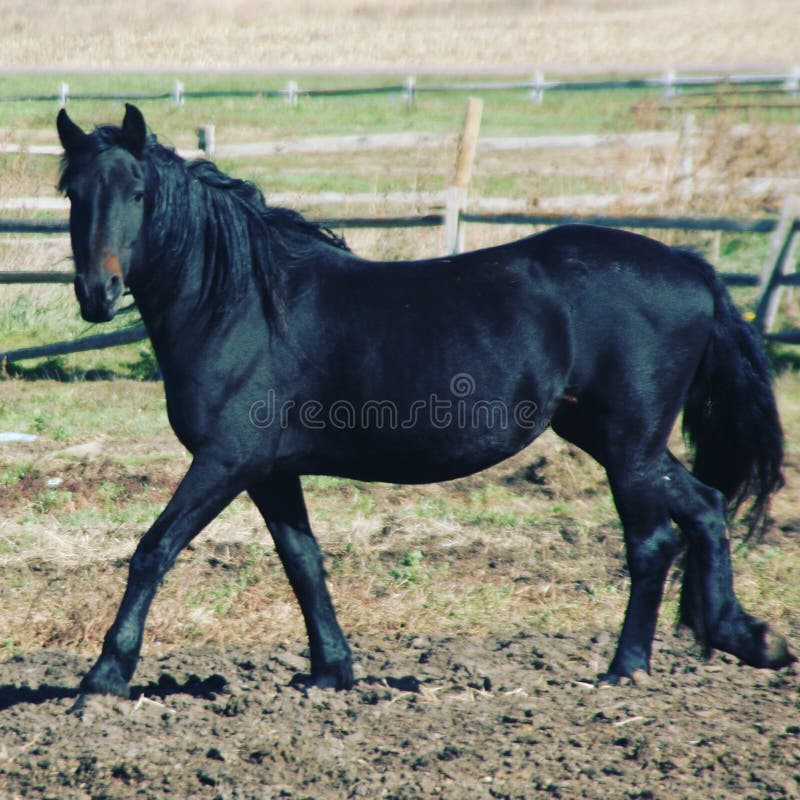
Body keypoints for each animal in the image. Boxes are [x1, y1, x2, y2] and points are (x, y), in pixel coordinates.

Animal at [56, 104, 793, 699]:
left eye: (138, 190)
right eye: (72, 192)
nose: (97, 293)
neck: (240, 305)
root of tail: (688, 266)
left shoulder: (226, 461)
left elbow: (153, 549)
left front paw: (104, 677)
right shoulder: (271, 472)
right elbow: (304, 564)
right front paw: (330, 673)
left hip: (627, 442)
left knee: (652, 541)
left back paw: (626, 669)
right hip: (615, 438)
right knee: (707, 508)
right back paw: (747, 637)